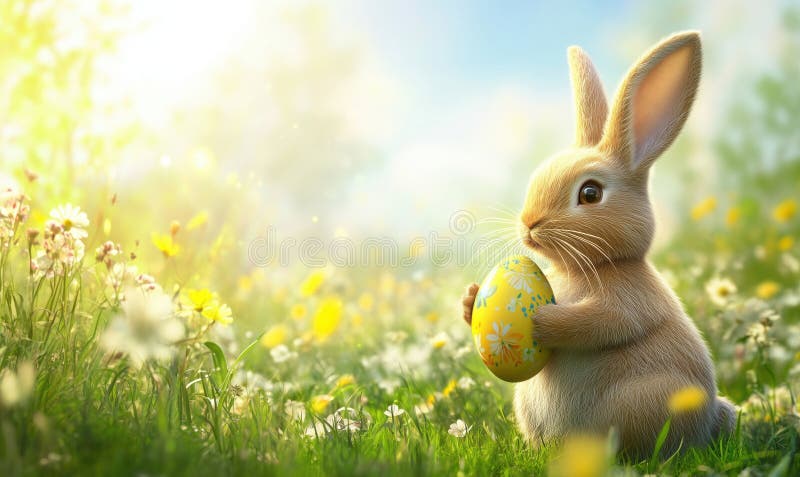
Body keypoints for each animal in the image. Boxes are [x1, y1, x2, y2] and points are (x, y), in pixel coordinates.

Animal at [461, 31, 736, 458]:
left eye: (590, 193)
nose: (529, 224)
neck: (579, 268)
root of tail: (708, 422)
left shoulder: (630, 298)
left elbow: (601, 322)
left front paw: (541, 320)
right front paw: (471, 299)